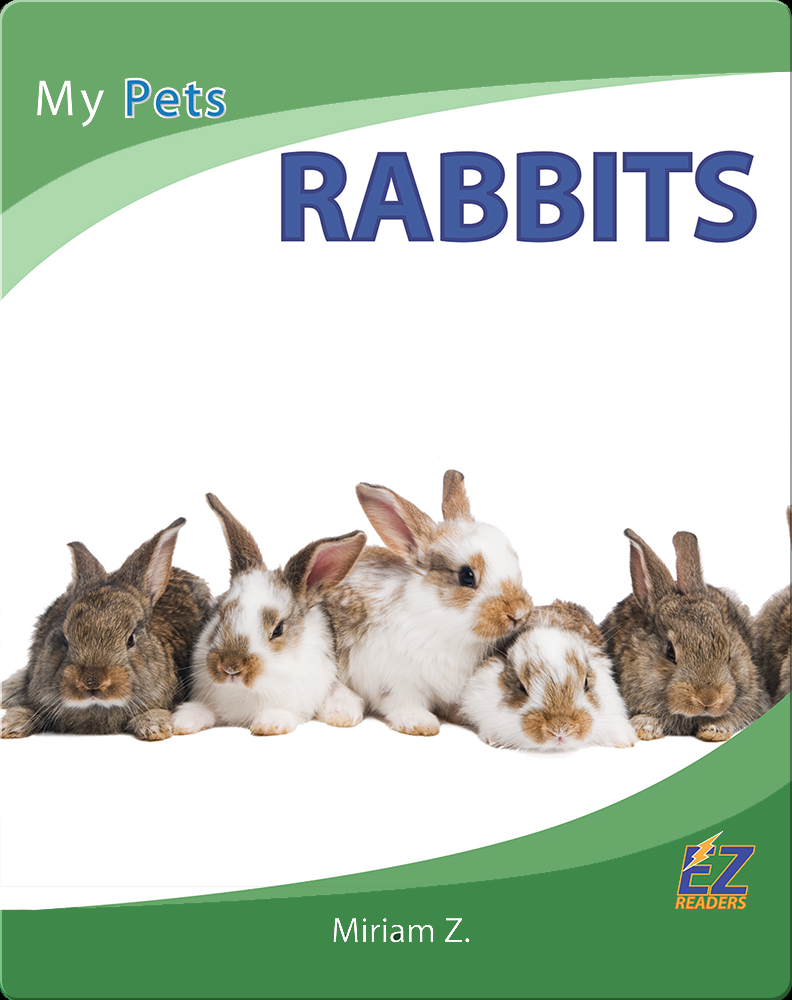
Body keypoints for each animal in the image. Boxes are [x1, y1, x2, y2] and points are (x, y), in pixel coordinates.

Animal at [325, 470, 532, 736]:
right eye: (467, 576)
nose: (518, 612)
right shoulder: (397, 680)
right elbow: (402, 702)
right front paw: (421, 724)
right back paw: (343, 712)